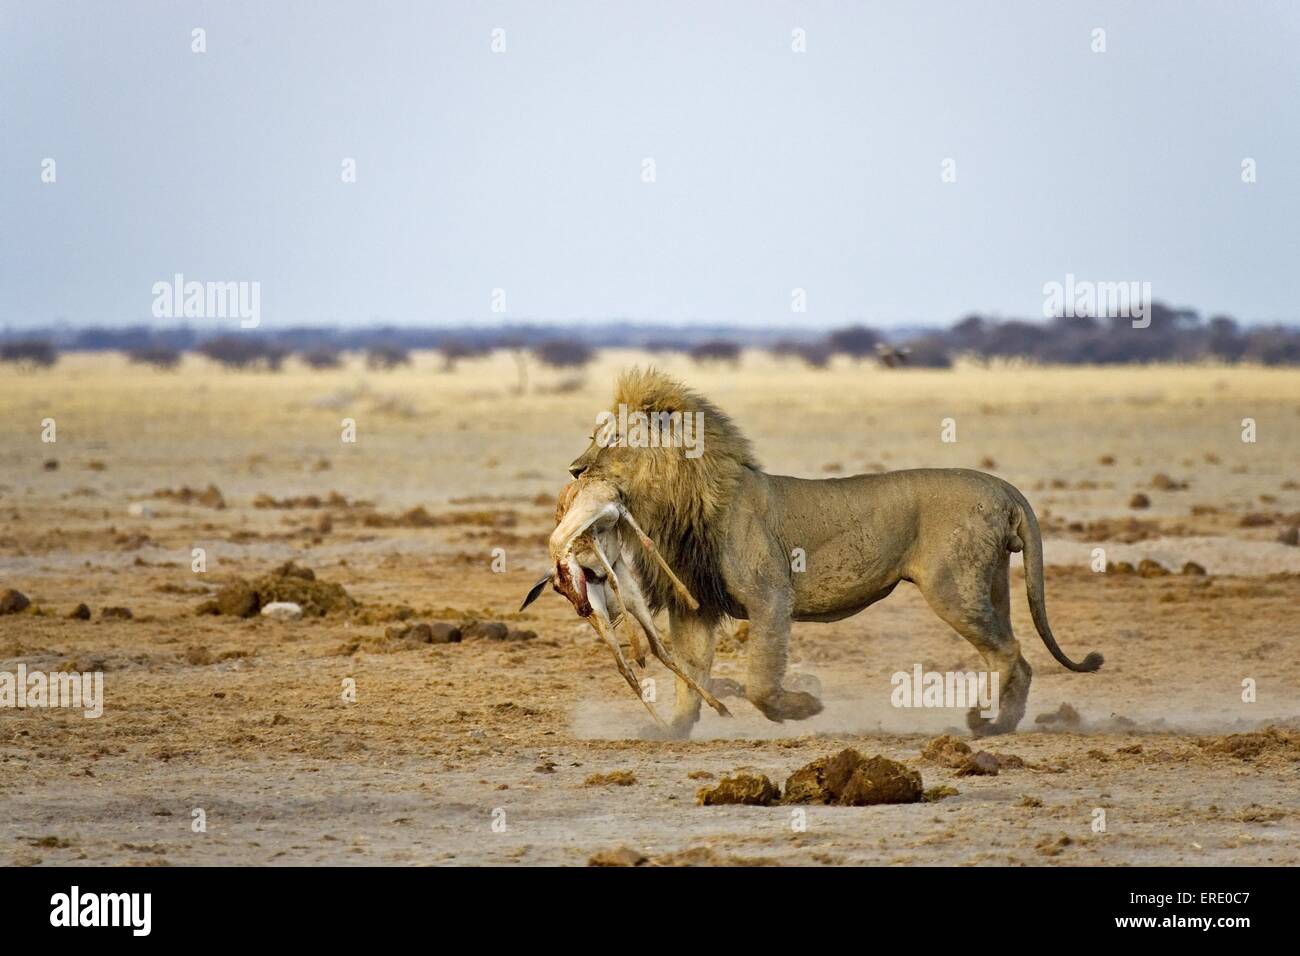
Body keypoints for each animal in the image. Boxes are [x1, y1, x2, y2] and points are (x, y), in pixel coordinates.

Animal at [536, 367, 1102, 739]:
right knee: (1010, 654)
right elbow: (689, 675)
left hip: (952, 587)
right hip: (990, 585)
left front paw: (804, 707)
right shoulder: (694, 606)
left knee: (1011, 655)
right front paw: (674, 730)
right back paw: (996, 719)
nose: (573, 470)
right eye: (593, 437)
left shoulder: (770, 596)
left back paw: (992, 727)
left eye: (611, 442)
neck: (681, 503)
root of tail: (1004, 487)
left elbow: (760, 681)